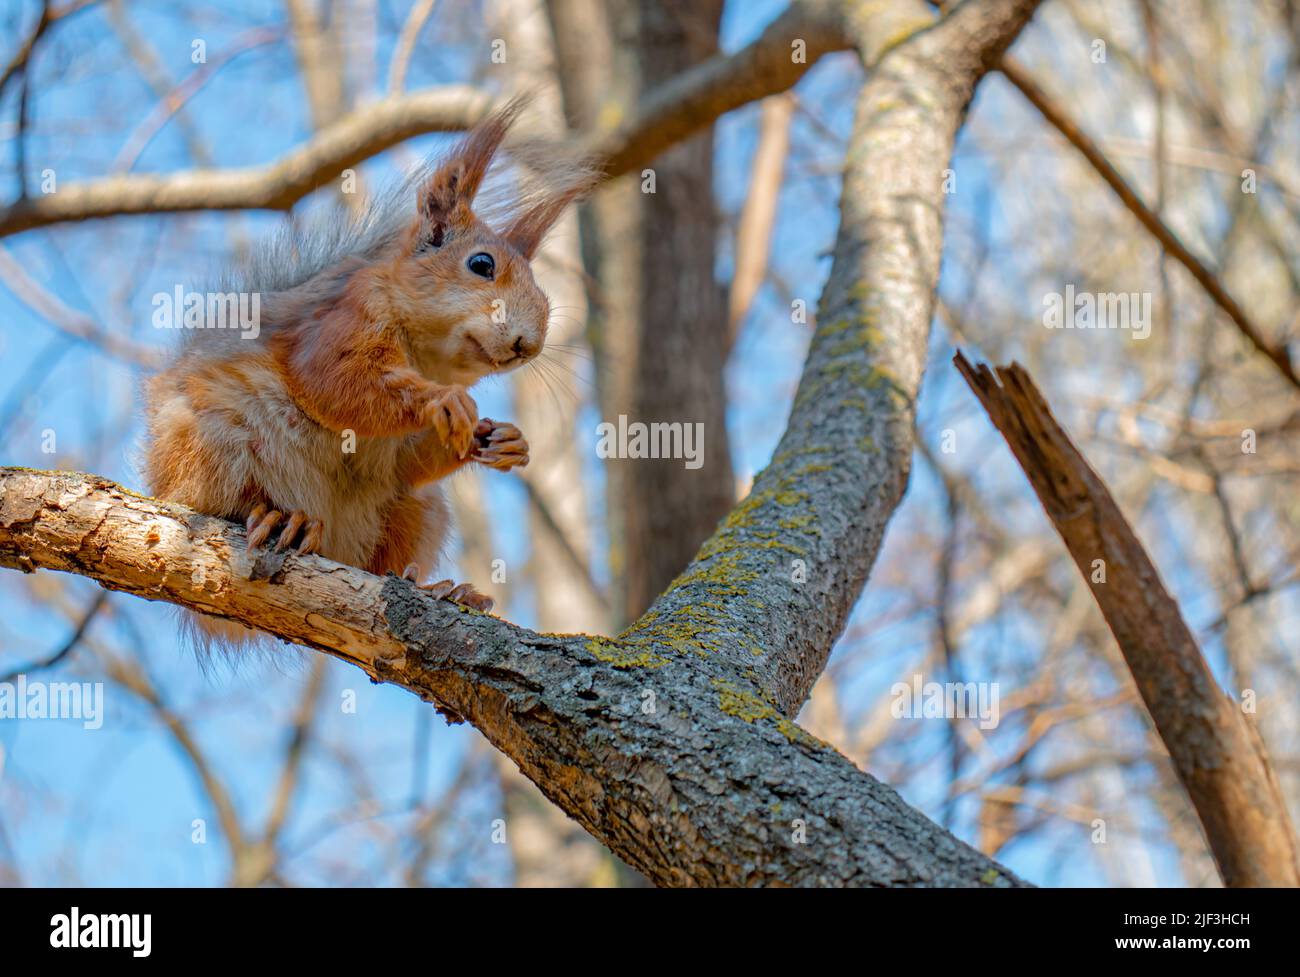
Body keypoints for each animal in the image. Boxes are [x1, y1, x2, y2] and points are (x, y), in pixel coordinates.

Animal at [142, 96, 591, 650]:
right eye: (481, 264)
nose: (529, 345)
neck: (429, 359)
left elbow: (412, 460)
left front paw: (504, 439)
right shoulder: (342, 322)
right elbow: (336, 385)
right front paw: (440, 402)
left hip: (415, 511)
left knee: (382, 560)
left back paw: (443, 589)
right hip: (212, 443)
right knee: (214, 504)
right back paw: (277, 518)